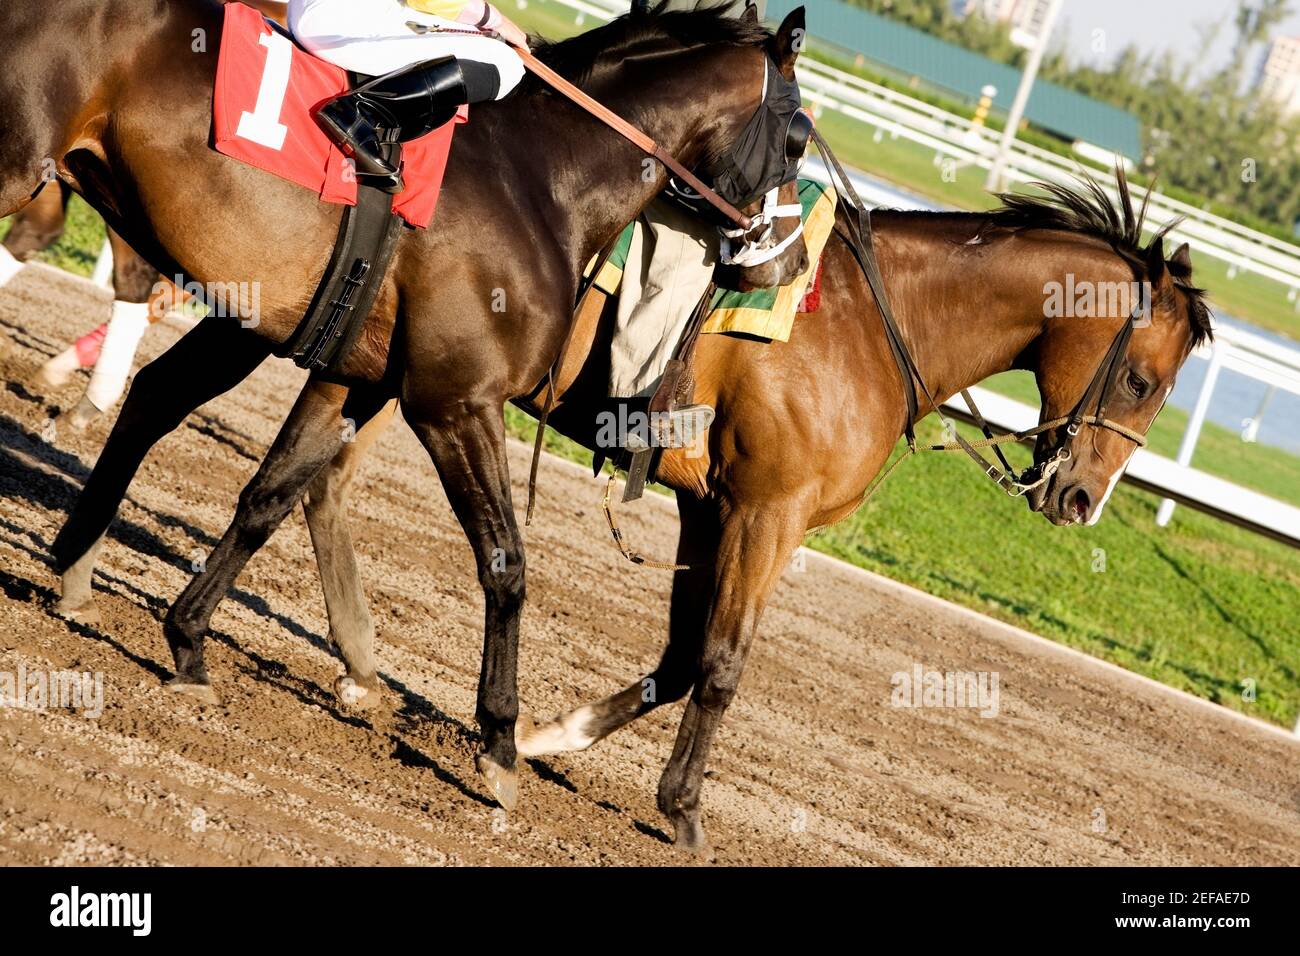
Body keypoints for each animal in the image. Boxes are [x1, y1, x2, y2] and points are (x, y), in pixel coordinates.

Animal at [1, 0, 811, 808]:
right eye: (800, 137)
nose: (793, 264)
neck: (542, 179)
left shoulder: (355, 377)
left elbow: (269, 496)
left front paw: (189, 641)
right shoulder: (455, 402)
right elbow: (506, 562)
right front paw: (500, 744)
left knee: (159, 396)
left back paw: (78, 562)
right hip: (23, 171)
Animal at [217, 168, 1213, 852]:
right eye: (1141, 378)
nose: (1079, 499)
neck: (870, 322)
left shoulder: (709, 507)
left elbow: (683, 654)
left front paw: (546, 736)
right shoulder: (766, 515)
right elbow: (724, 663)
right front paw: (684, 809)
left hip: (393, 375)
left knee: (311, 484)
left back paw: (355, 666)